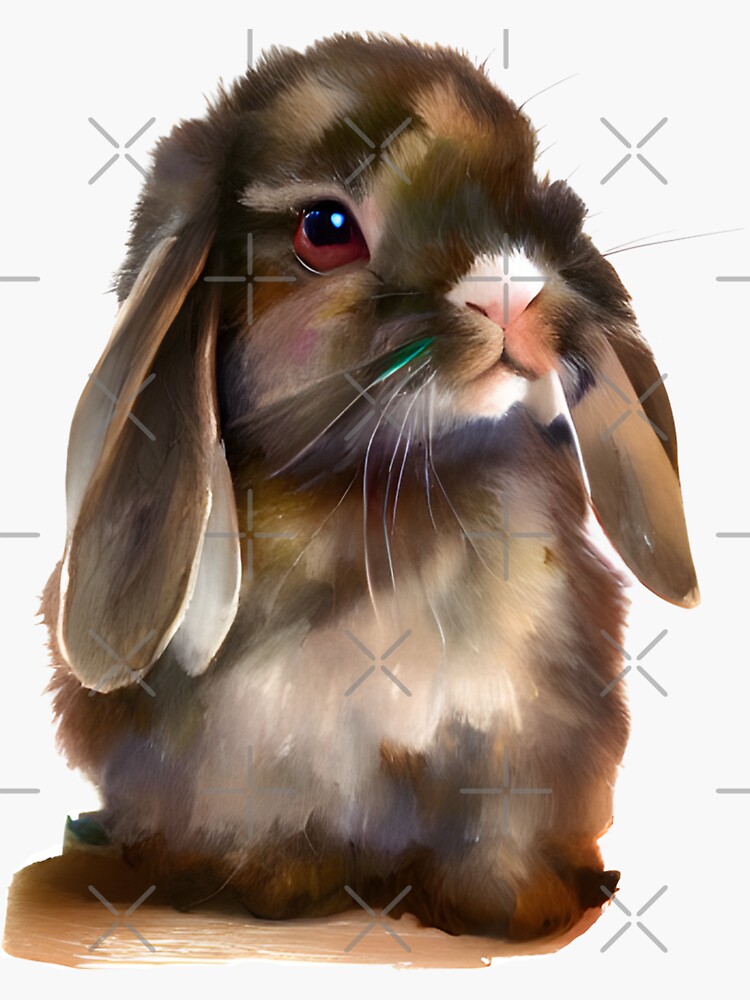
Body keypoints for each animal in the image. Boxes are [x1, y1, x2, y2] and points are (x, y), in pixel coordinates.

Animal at [40, 32, 699, 943]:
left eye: (529, 188)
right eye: (325, 229)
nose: (511, 293)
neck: (387, 486)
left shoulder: (520, 735)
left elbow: (500, 827)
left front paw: (515, 907)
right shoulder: (248, 755)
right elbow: (267, 823)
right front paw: (275, 885)